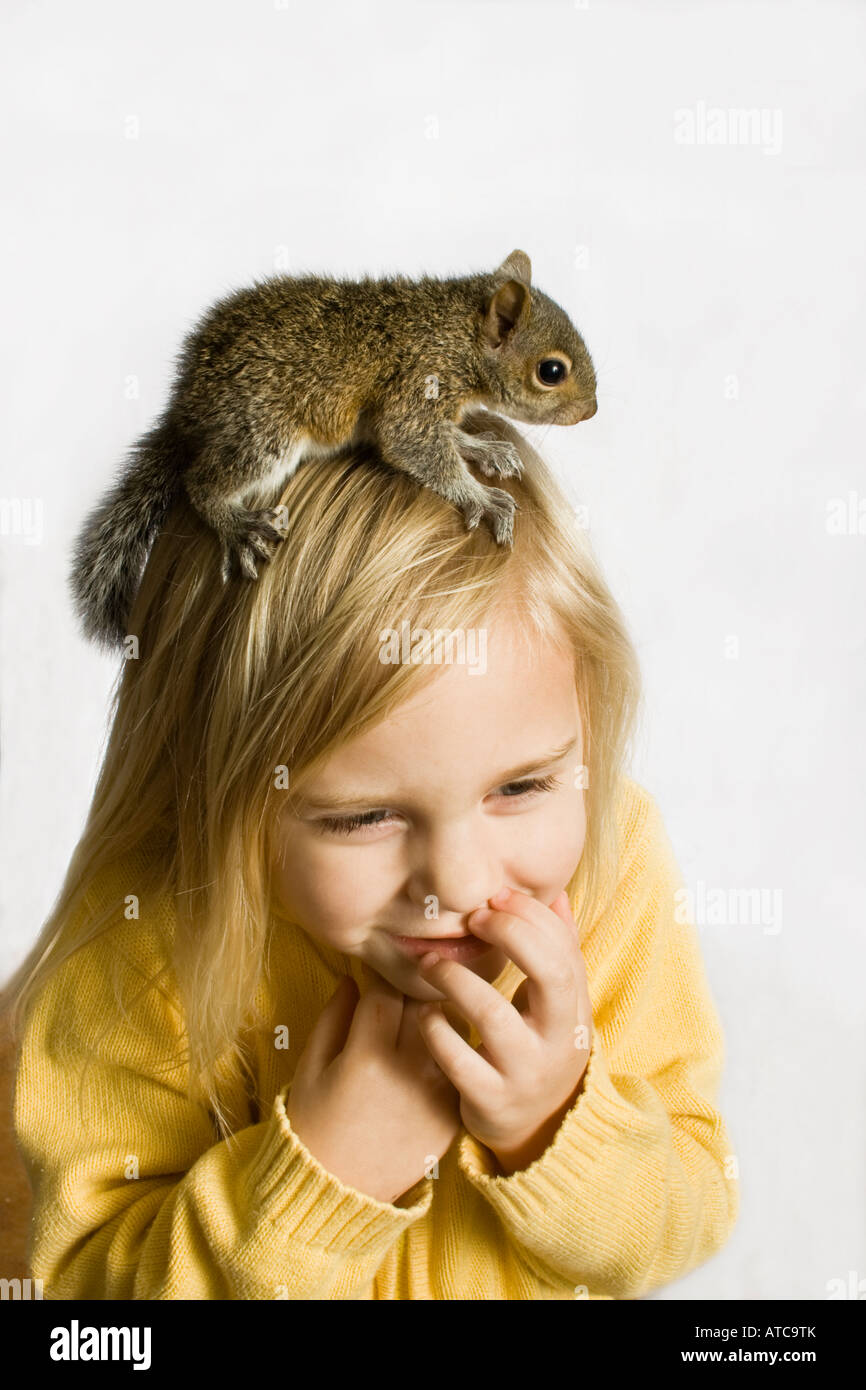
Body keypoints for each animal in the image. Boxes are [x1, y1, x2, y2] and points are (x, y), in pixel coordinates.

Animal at [69, 248, 597, 650]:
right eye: (551, 371)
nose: (591, 412)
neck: (456, 333)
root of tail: (186, 410)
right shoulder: (418, 384)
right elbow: (410, 442)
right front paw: (481, 498)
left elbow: (445, 438)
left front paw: (482, 448)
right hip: (265, 432)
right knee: (201, 481)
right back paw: (235, 524)